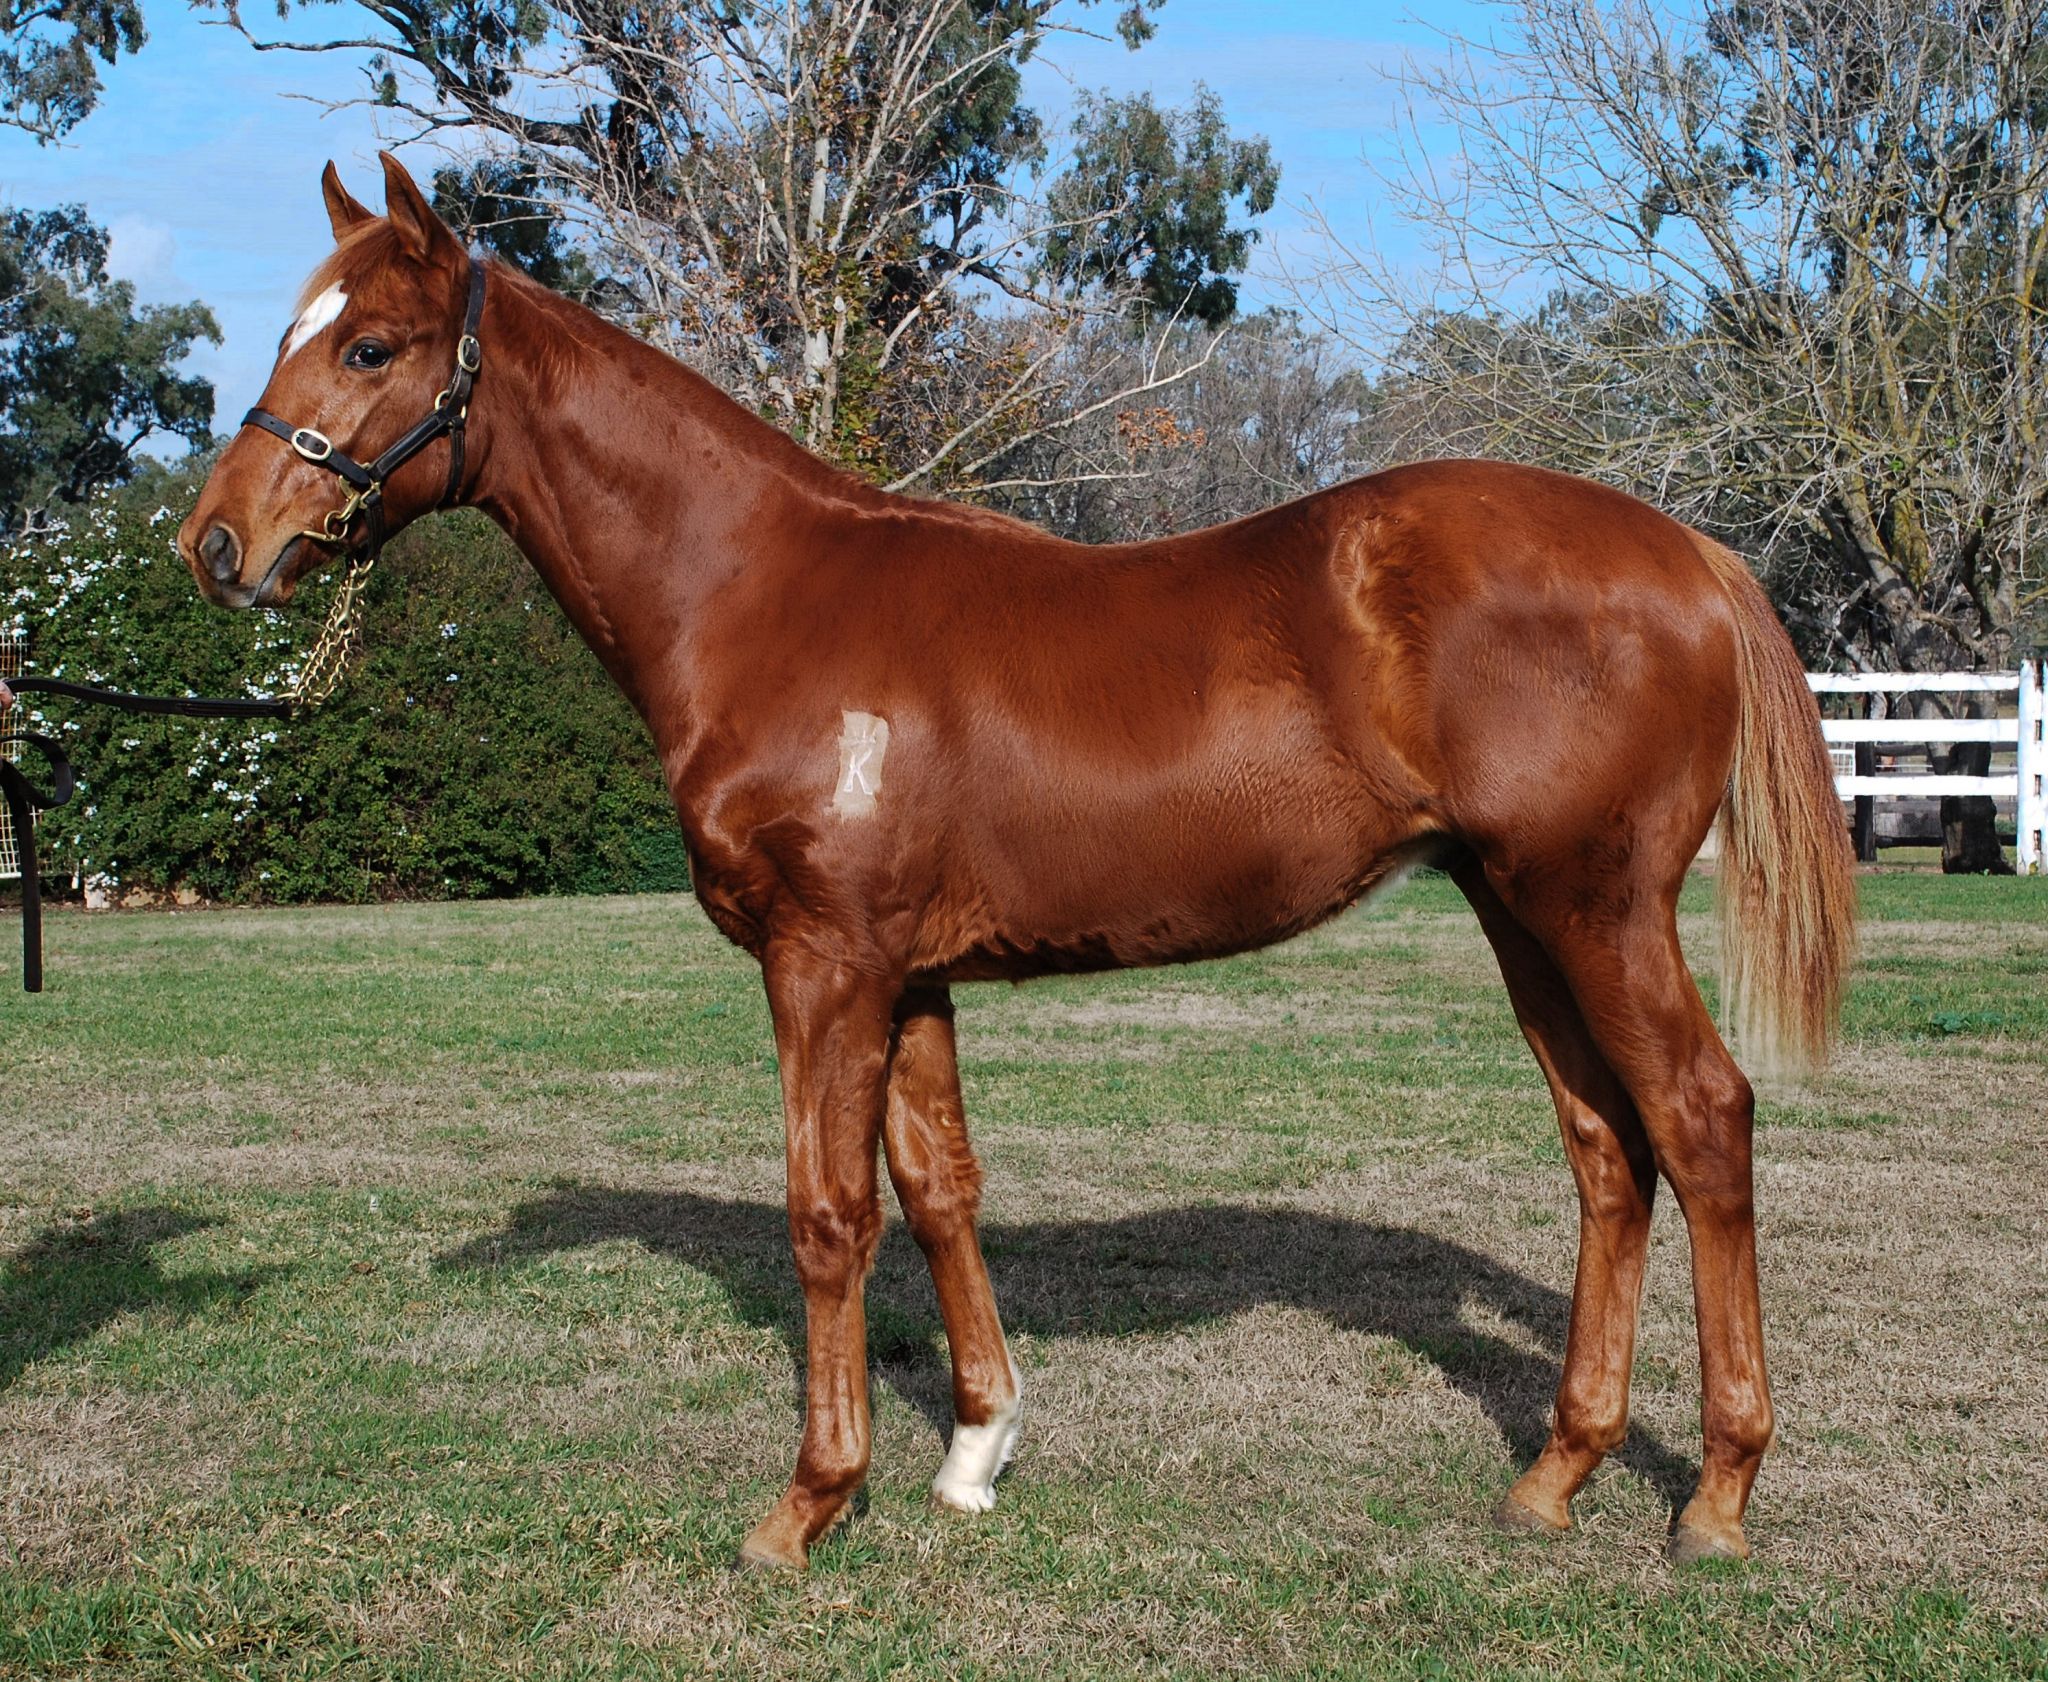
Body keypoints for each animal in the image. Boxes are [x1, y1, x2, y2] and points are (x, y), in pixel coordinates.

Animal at [178, 155, 1857, 1571]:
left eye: (372, 347)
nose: (215, 545)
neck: (760, 591)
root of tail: (1689, 552)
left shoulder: (825, 962)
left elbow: (828, 1214)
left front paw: (807, 1503)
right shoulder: (909, 972)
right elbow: (938, 1190)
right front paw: (974, 1451)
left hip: (1598, 907)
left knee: (1701, 1123)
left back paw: (1716, 1496)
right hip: (1523, 913)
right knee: (1607, 1150)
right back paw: (1557, 1472)